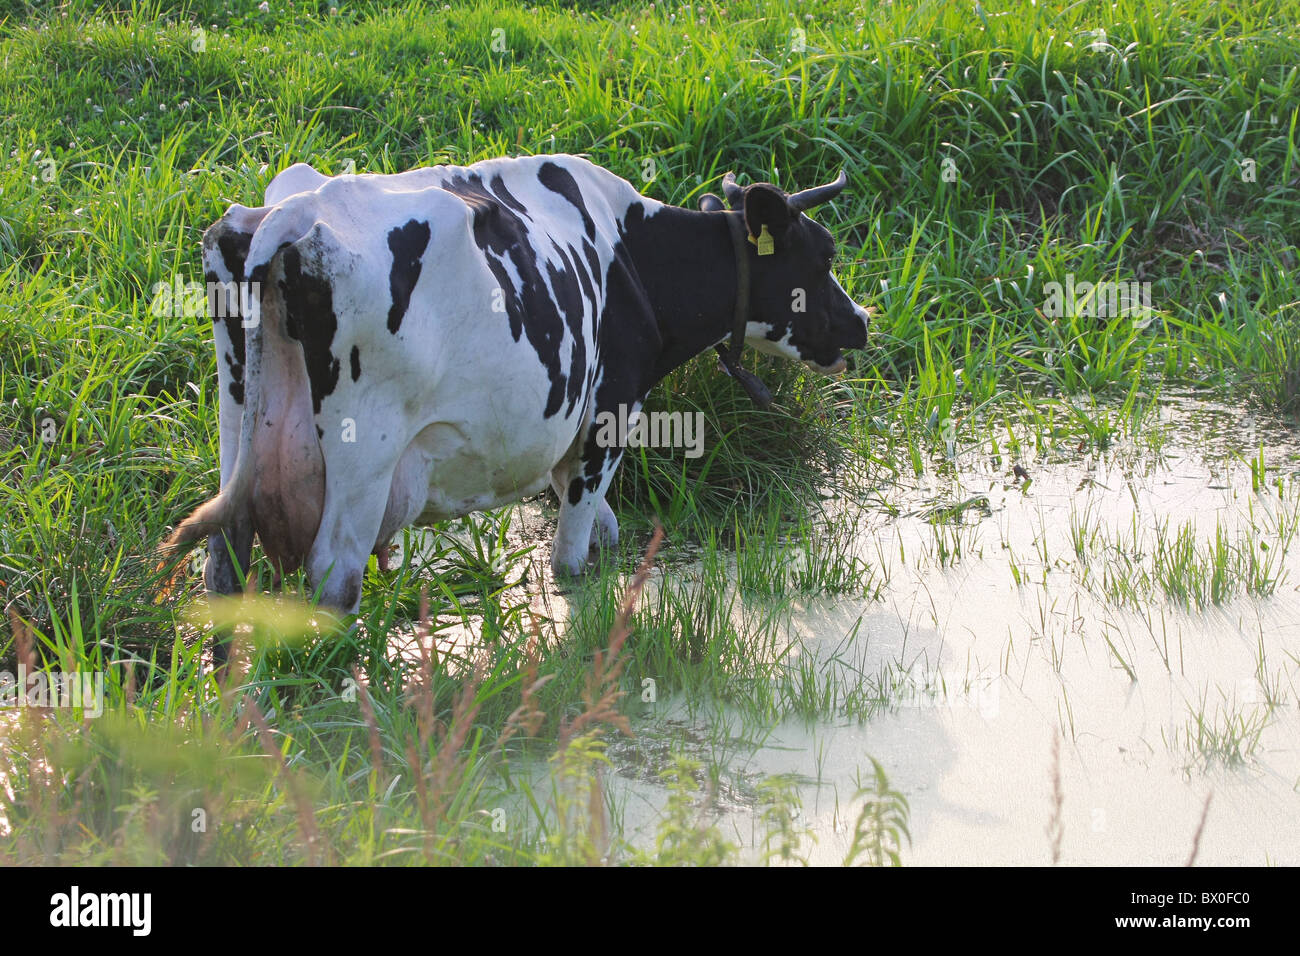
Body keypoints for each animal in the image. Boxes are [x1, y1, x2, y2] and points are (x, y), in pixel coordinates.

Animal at [163, 154, 871, 629]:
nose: (862, 320)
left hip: (239, 426)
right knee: (332, 579)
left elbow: (606, 530)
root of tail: (295, 212)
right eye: (823, 255)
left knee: (224, 563)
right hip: (364, 458)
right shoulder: (609, 413)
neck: (631, 259)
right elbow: (573, 556)